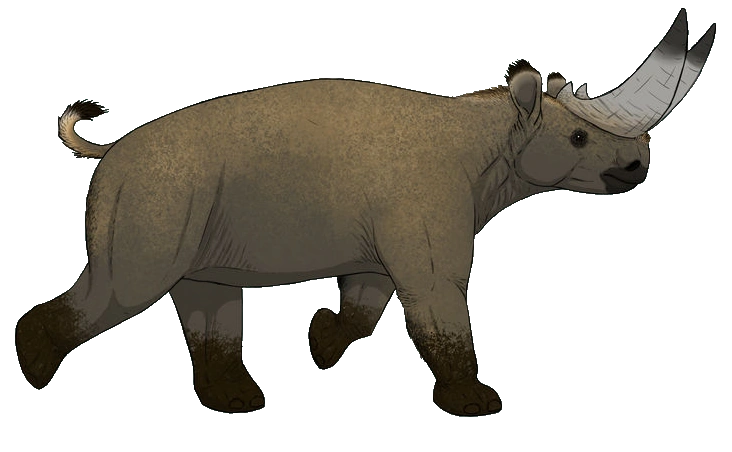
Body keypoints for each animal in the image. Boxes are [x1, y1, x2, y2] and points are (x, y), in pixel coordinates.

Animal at [18, 9, 714, 415]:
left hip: (195, 203)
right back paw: (34, 371)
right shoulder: (426, 207)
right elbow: (440, 301)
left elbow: (366, 299)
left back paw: (239, 399)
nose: (636, 163)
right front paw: (477, 399)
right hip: (158, 191)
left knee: (206, 292)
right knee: (127, 285)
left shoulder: (386, 229)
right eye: (577, 138)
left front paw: (321, 346)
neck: (489, 133)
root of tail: (109, 150)